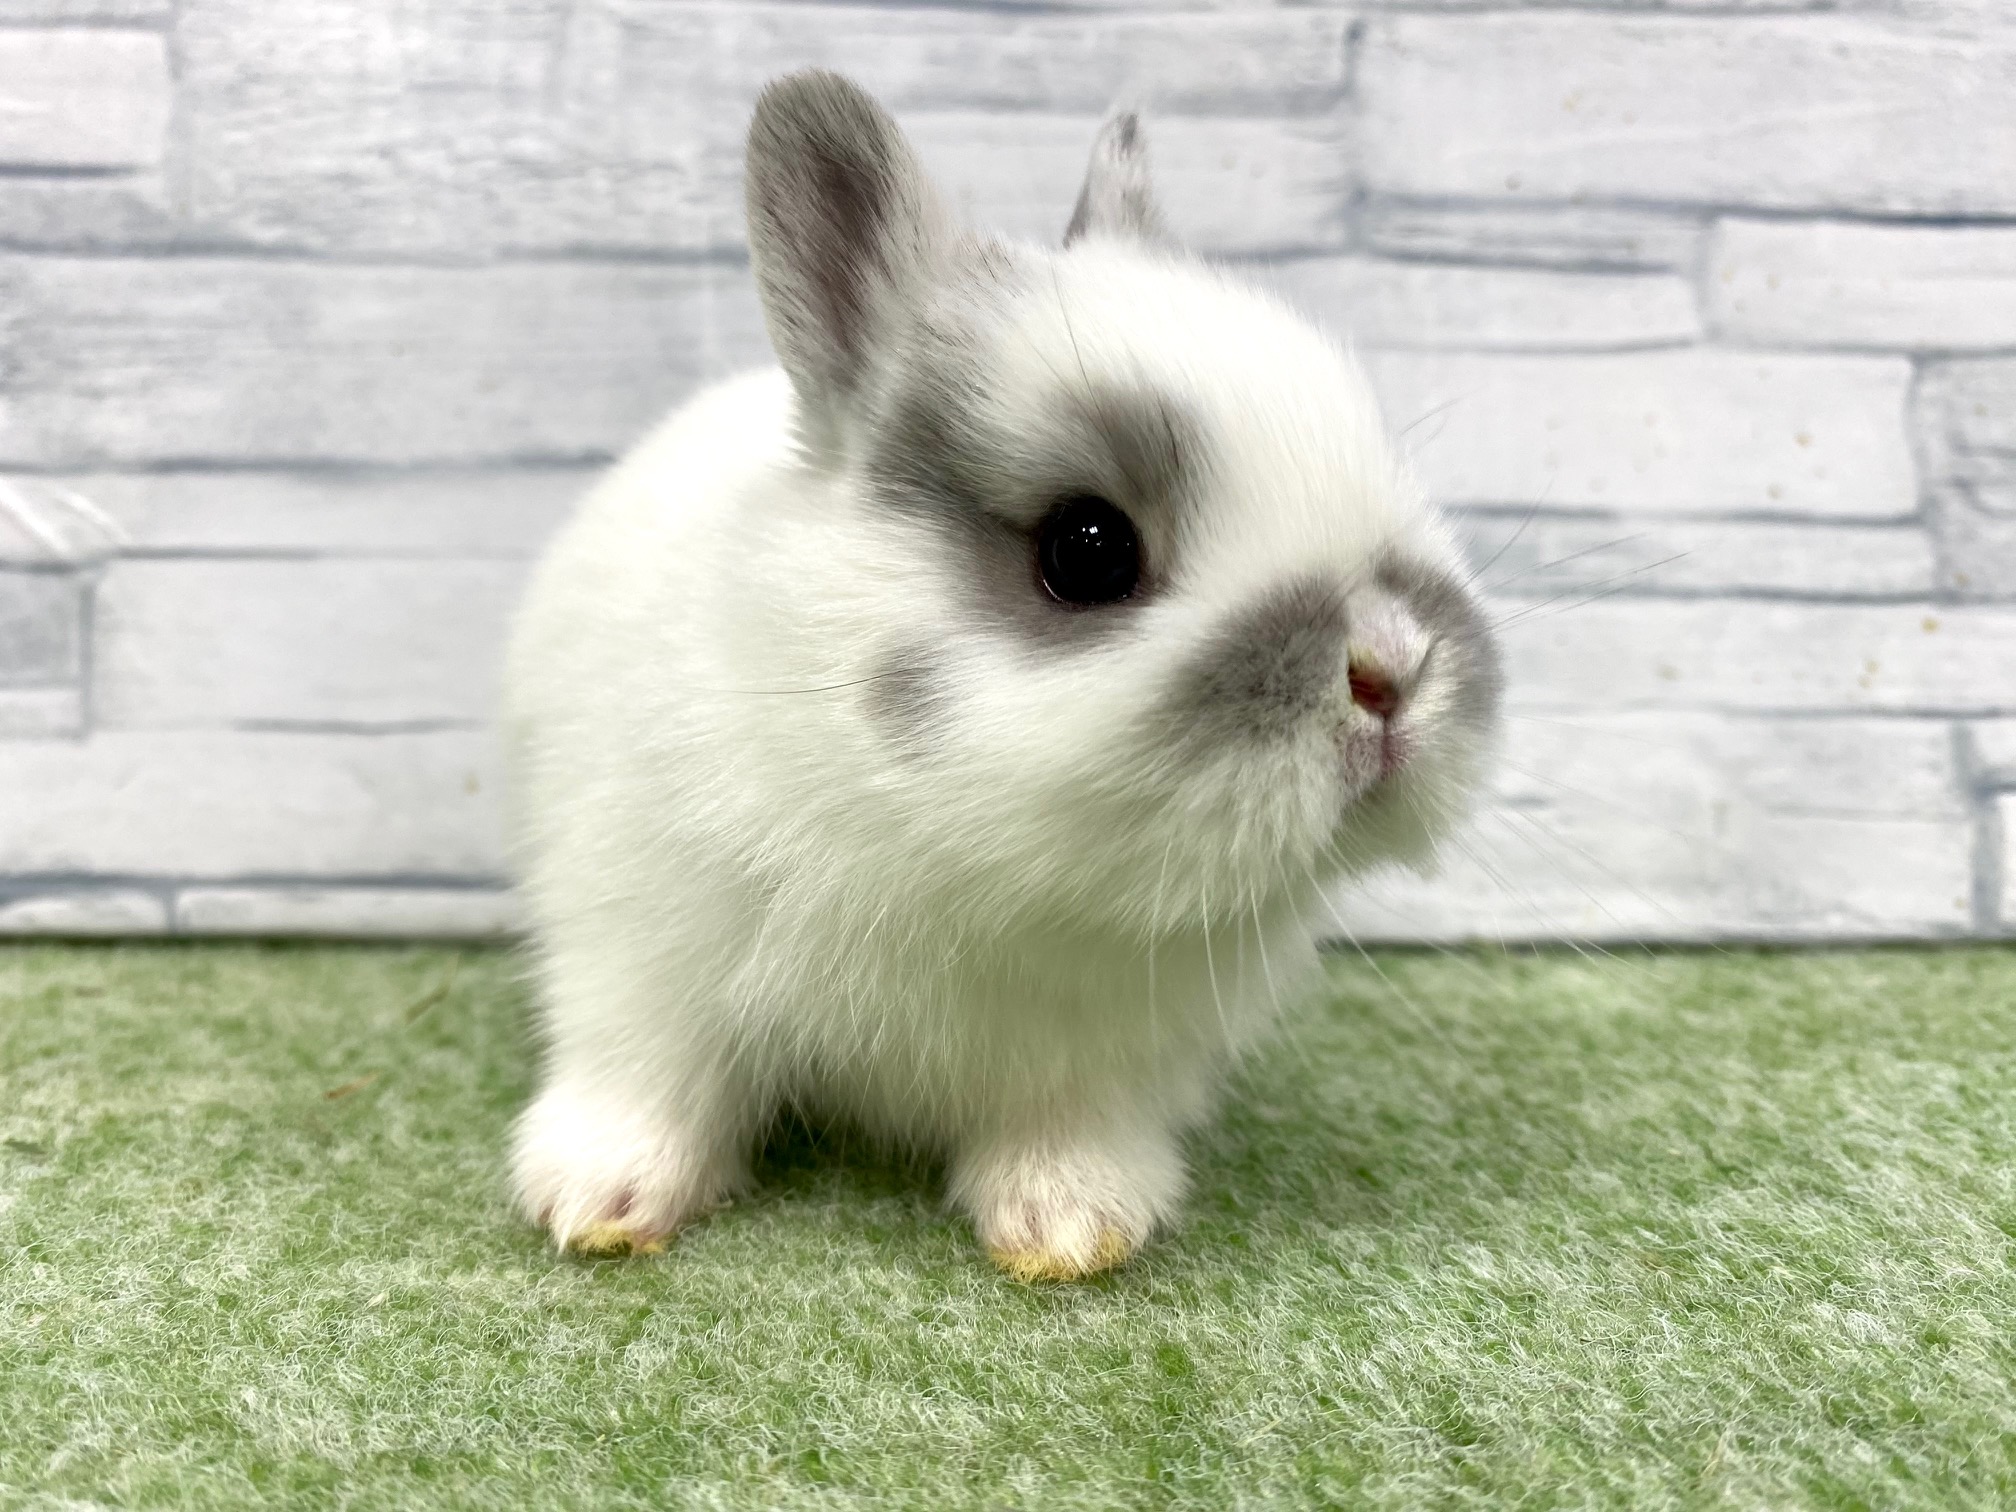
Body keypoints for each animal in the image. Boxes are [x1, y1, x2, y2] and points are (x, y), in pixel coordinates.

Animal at [503, 69, 1501, 1281]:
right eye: (1089, 548)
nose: (1394, 668)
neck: (955, 852)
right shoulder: (640, 951)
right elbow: (649, 1076)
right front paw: (599, 1203)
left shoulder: (1101, 1053)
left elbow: (1065, 1126)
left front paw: (1071, 1227)